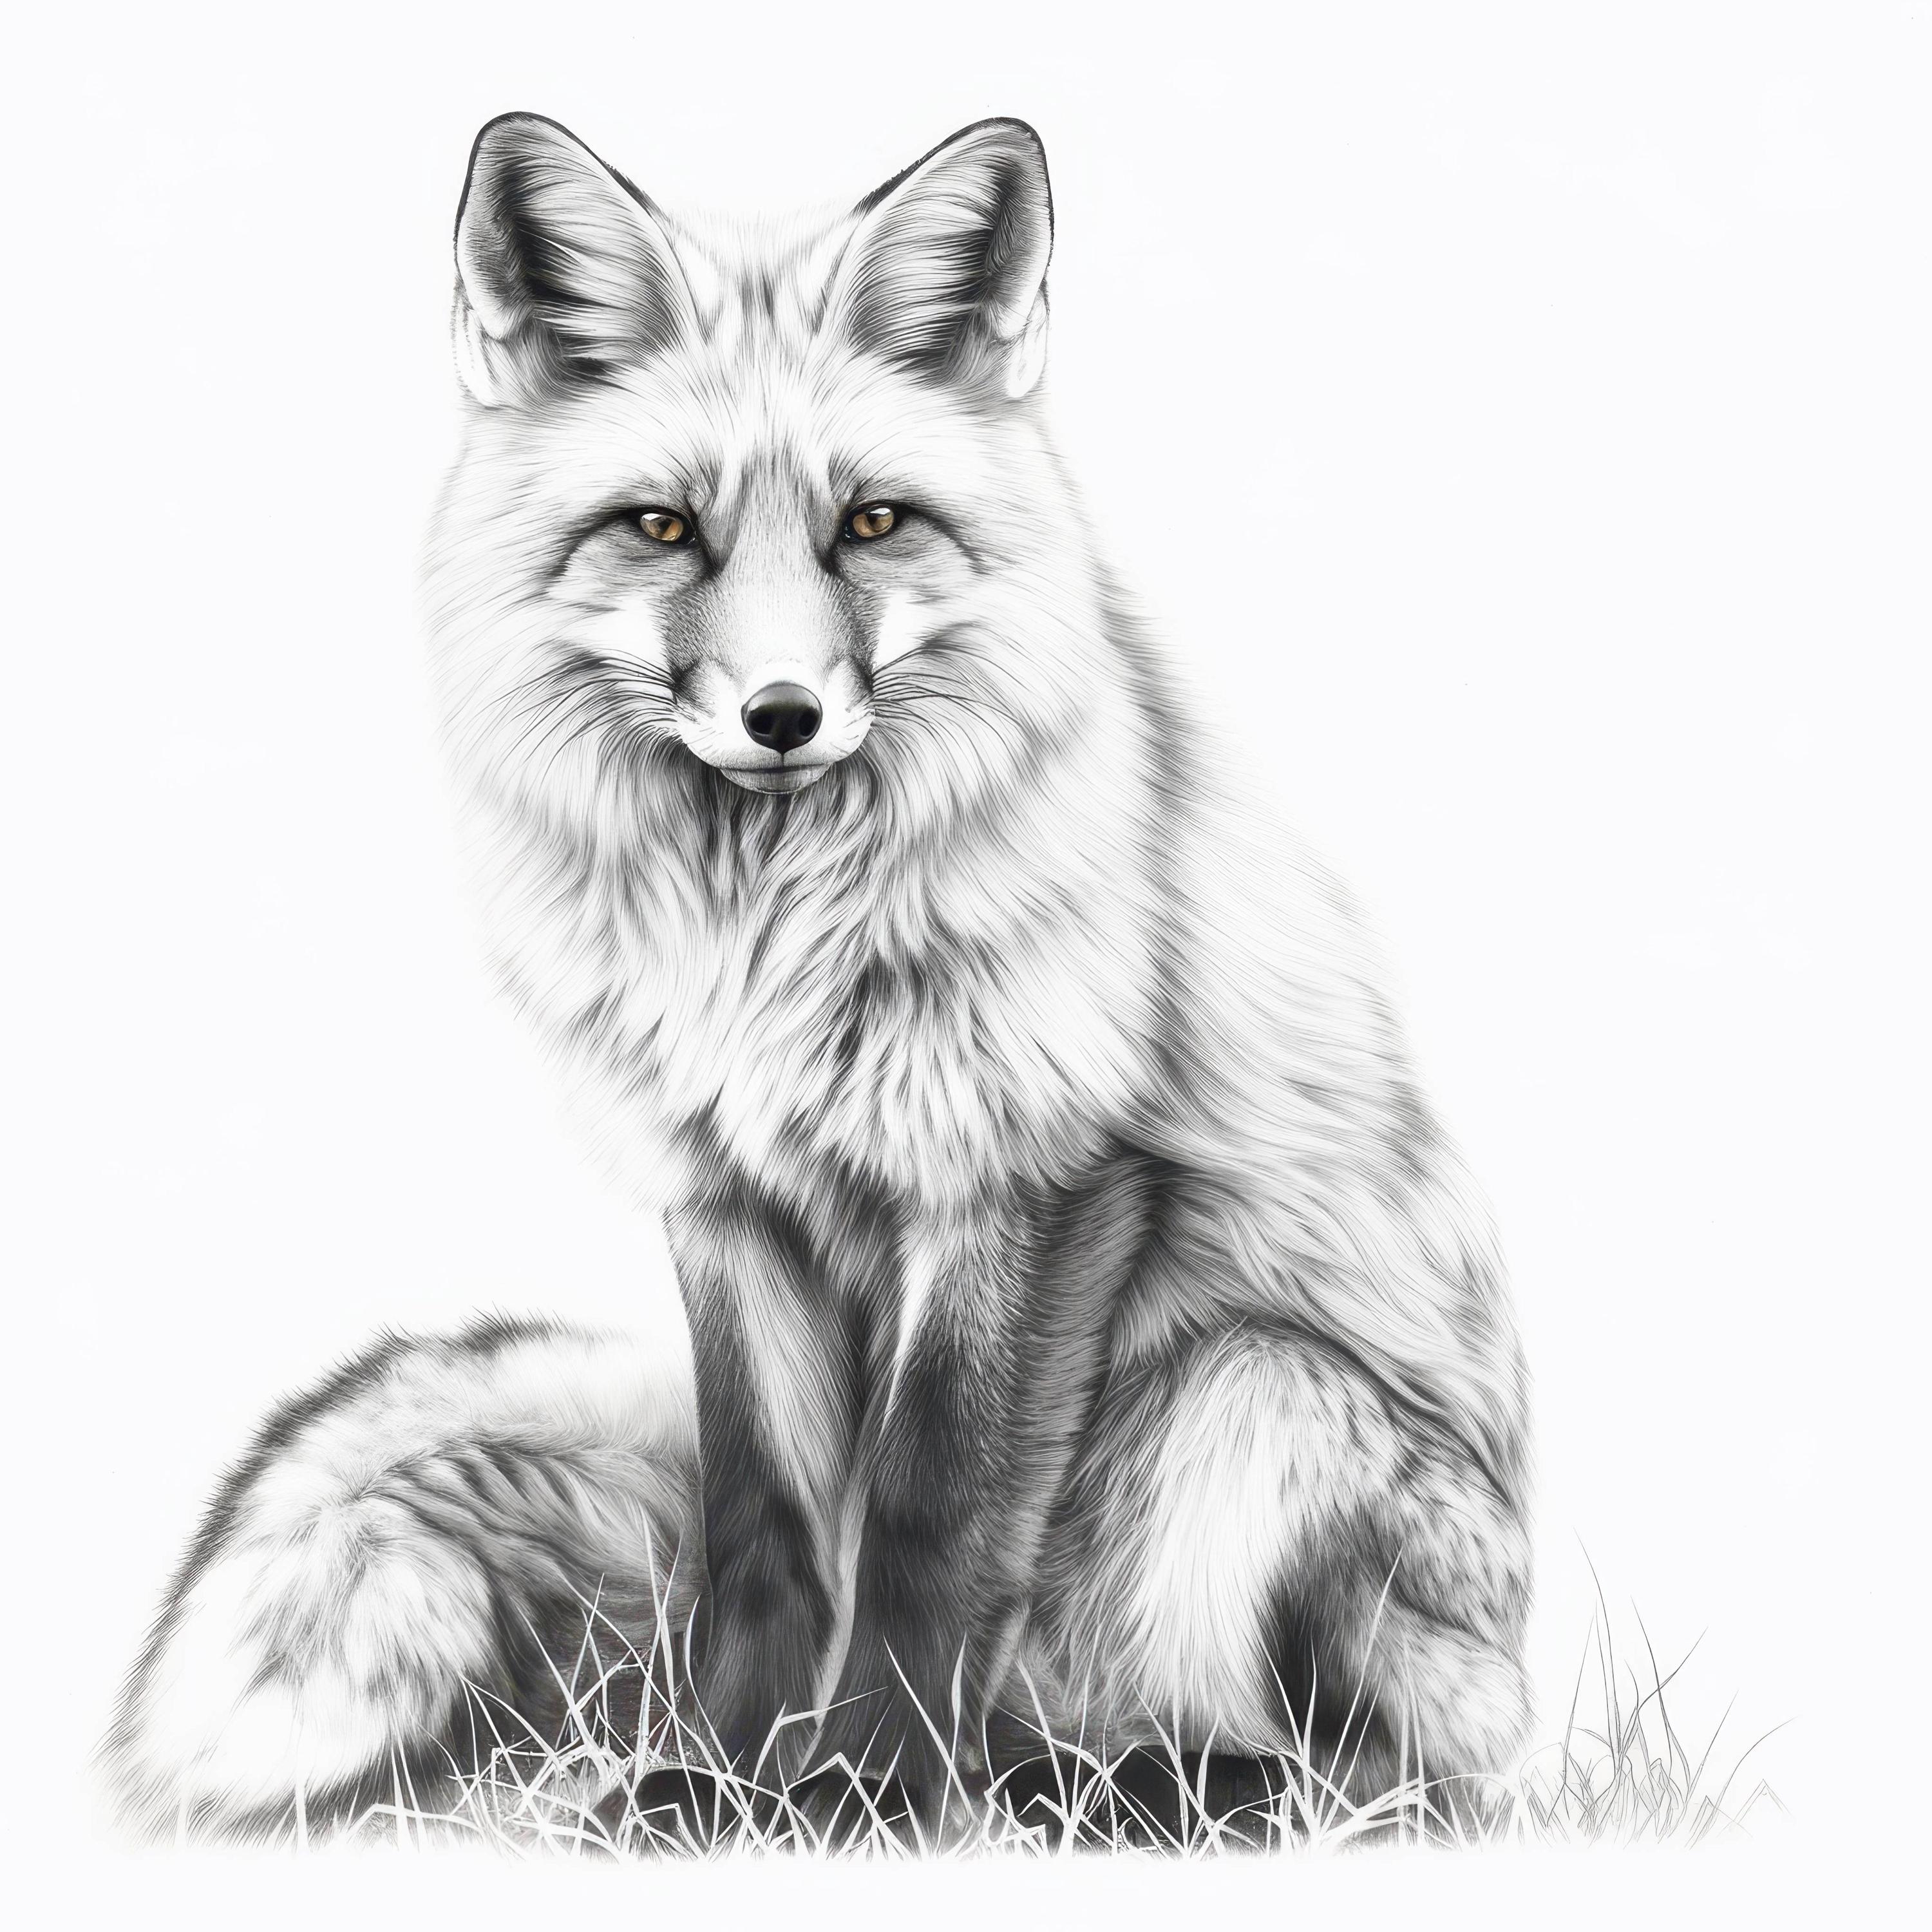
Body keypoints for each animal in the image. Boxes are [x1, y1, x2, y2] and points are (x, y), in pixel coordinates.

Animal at [103, 113, 1533, 1844]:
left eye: (873, 522)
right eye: (662, 528)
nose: (781, 714)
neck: (767, 940)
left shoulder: (1028, 1168)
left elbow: (926, 1515)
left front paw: (864, 1791)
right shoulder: (725, 1197)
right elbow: (767, 1529)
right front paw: (728, 1781)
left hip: (1250, 1392)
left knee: (1397, 1770)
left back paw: (1133, 1784)